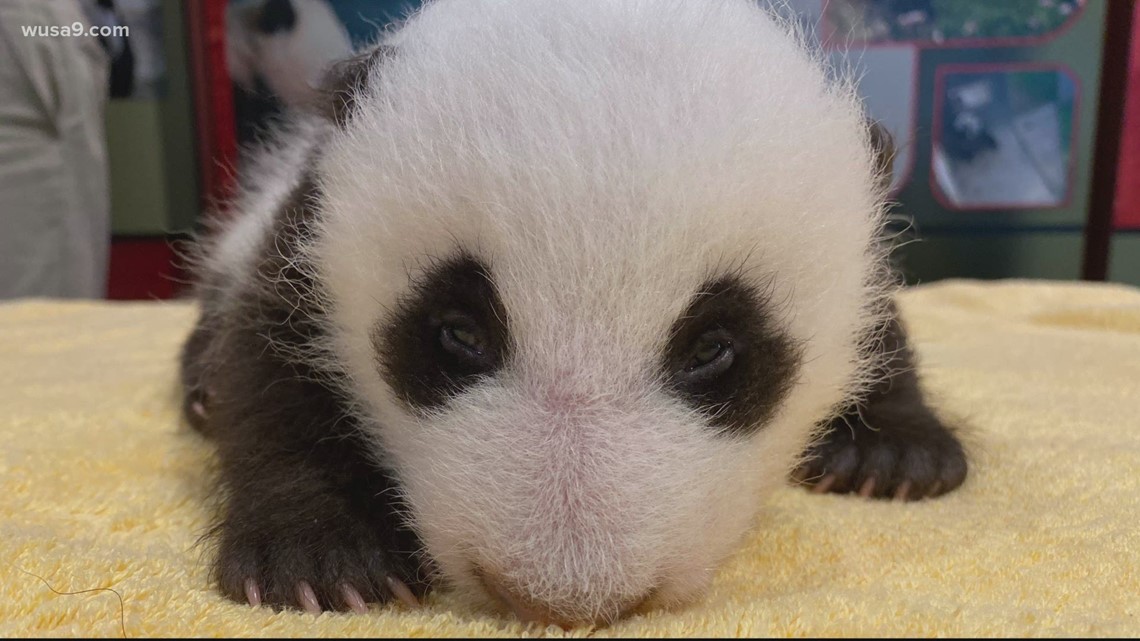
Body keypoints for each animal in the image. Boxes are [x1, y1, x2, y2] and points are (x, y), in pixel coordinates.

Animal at [183, 0, 967, 628]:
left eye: (713, 349)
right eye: (458, 333)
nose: (559, 599)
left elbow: (877, 320)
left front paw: (897, 454)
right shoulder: (308, 235)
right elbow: (266, 370)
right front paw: (319, 558)